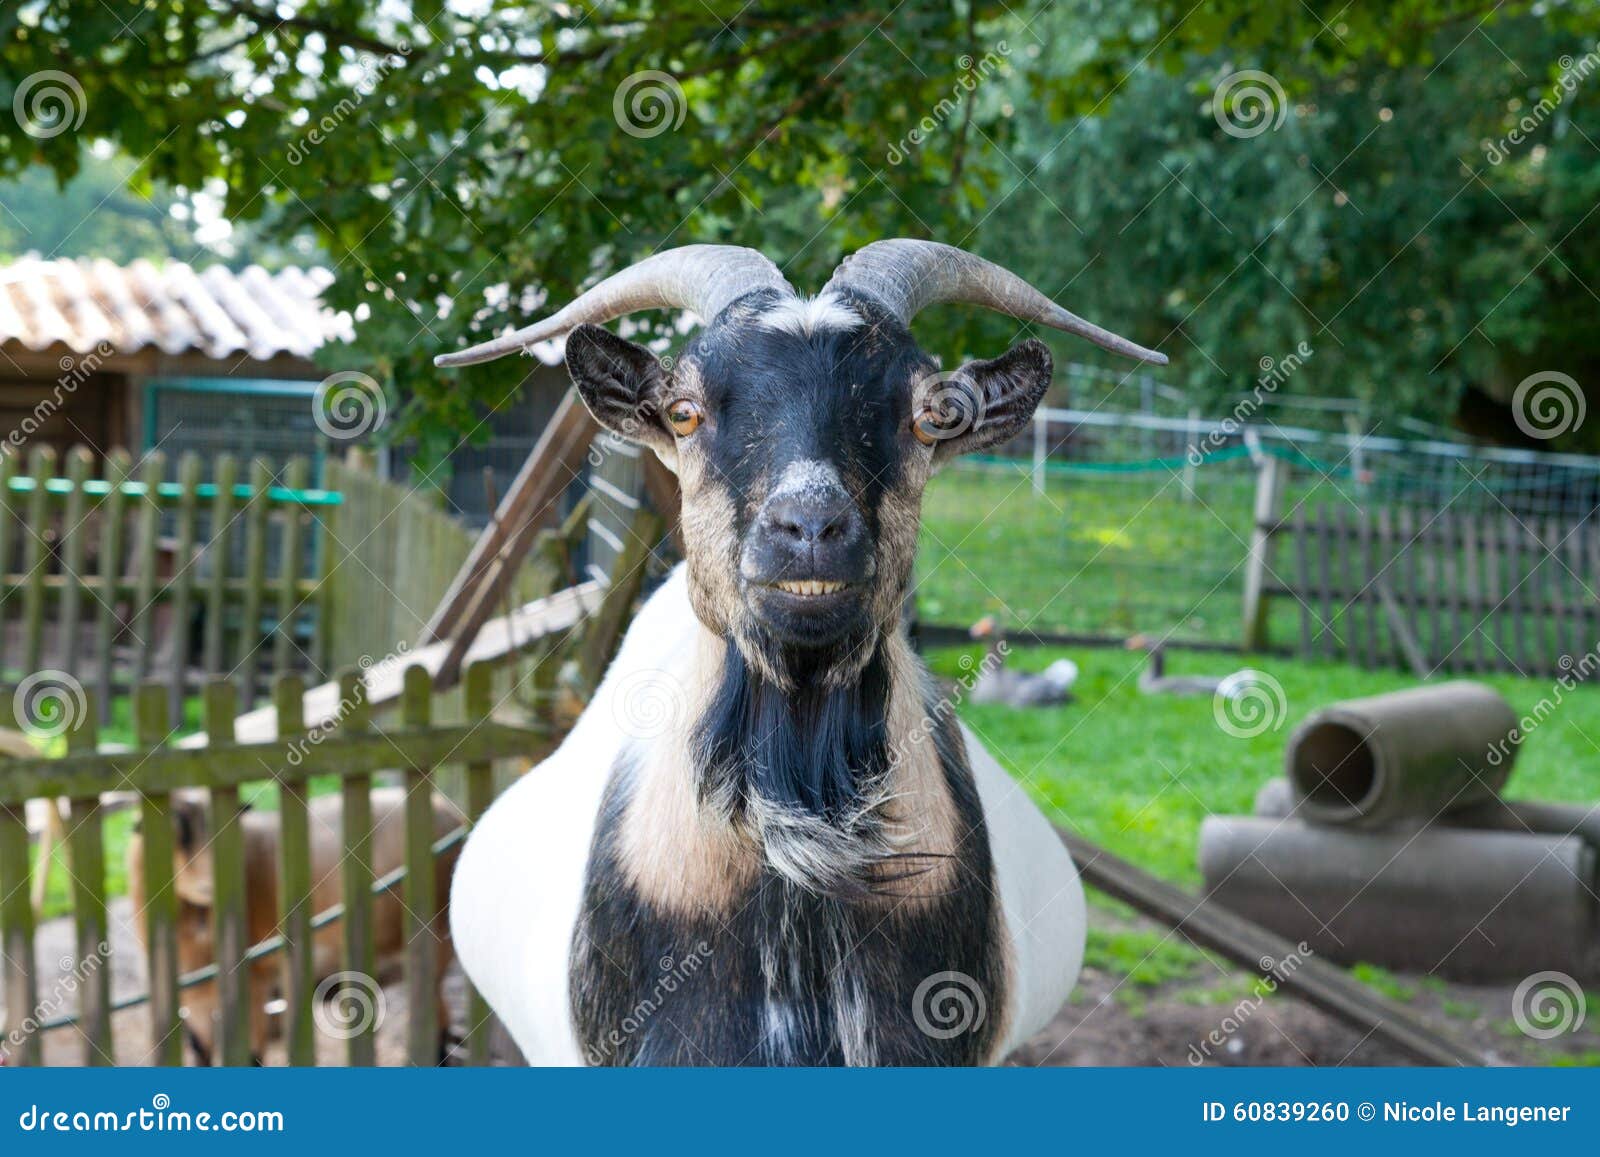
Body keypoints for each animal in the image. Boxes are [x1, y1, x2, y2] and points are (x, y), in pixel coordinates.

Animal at [126, 787, 460, 1065]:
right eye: (178, 829)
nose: (210, 886)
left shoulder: (254, 982)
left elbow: (250, 1056)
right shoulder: (196, 998)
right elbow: (200, 1053)